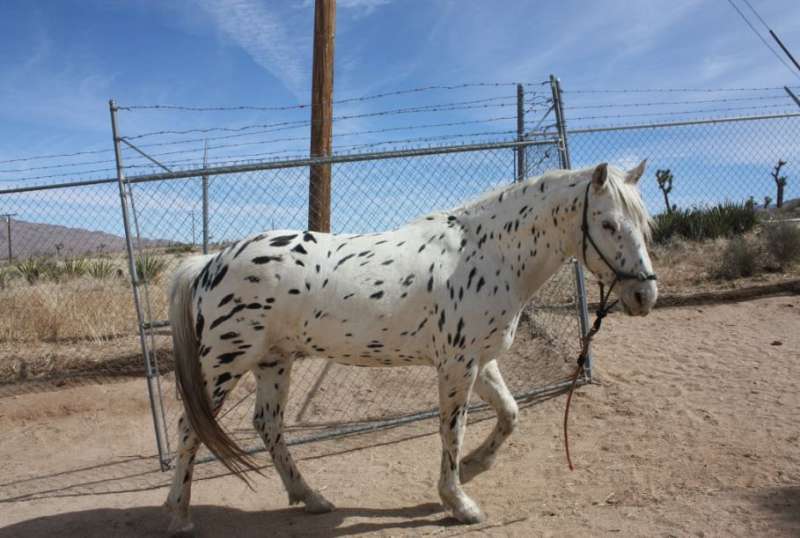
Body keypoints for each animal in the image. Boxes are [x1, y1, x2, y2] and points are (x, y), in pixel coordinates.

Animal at [163, 161, 657, 532]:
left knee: (267, 426)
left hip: (272, 362)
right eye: (609, 223)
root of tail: (210, 261)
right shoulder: (457, 364)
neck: (487, 255)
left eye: (644, 224)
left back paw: (312, 498)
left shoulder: (480, 360)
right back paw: (179, 515)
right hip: (224, 364)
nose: (645, 296)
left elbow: (509, 413)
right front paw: (459, 502)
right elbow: (452, 430)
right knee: (190, 429)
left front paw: (475, 466)